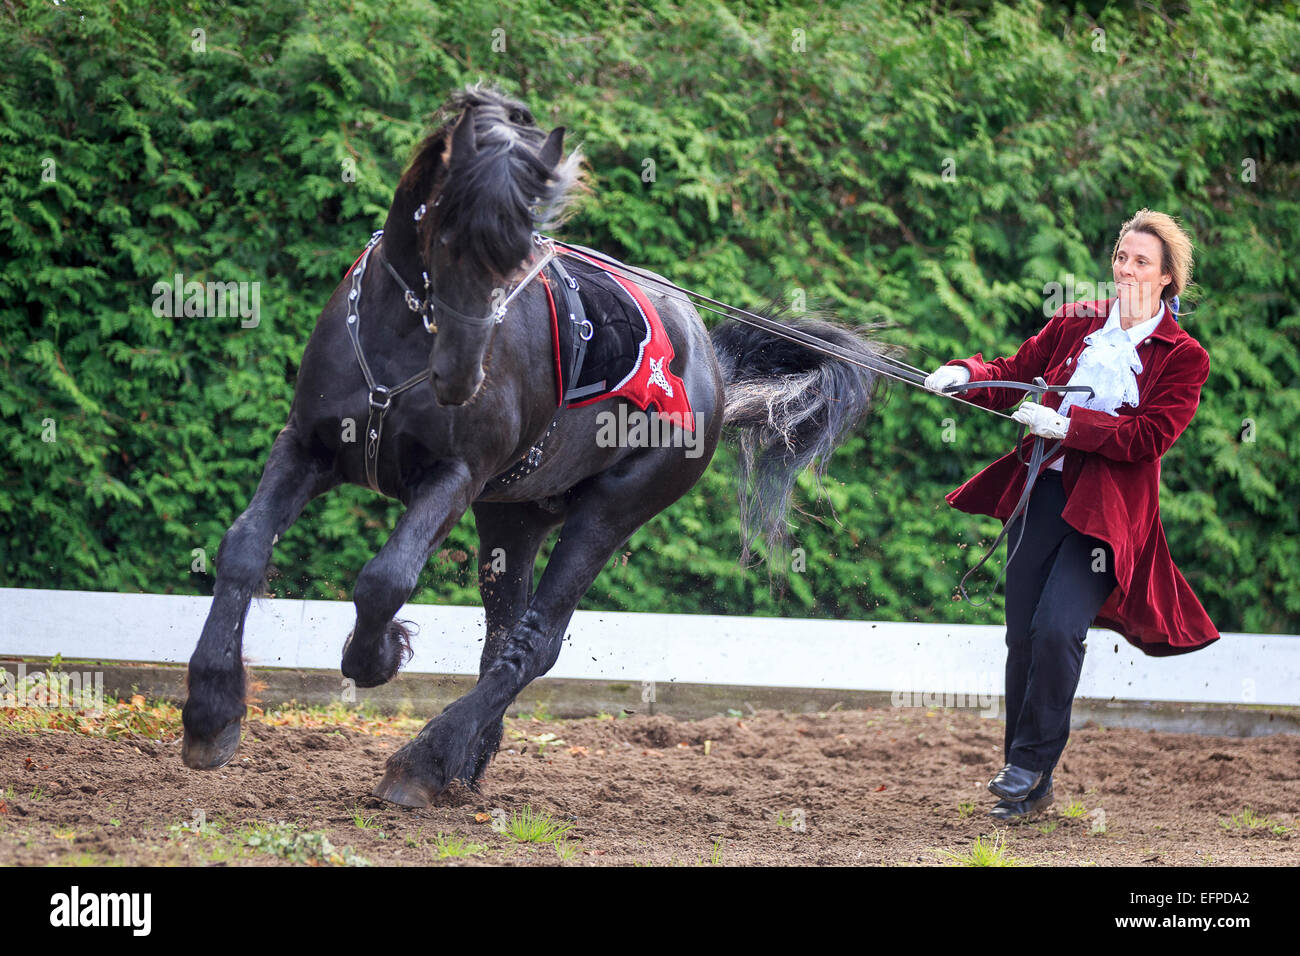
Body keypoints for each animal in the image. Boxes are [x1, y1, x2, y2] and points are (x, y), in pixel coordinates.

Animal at [181, 86, 890, 807]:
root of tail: (708, 361)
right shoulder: (306, 447)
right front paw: (211, 717)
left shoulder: (454, 477)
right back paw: (462, 762)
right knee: (503, 635)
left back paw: (423, 762)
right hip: (512, 516)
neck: (400, 344)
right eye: (449, 233)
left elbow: (385, 580)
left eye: (523, 253)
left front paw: (374, 658)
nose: (460, 379)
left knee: (537, 641)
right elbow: (244, 547)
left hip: (608, 512)